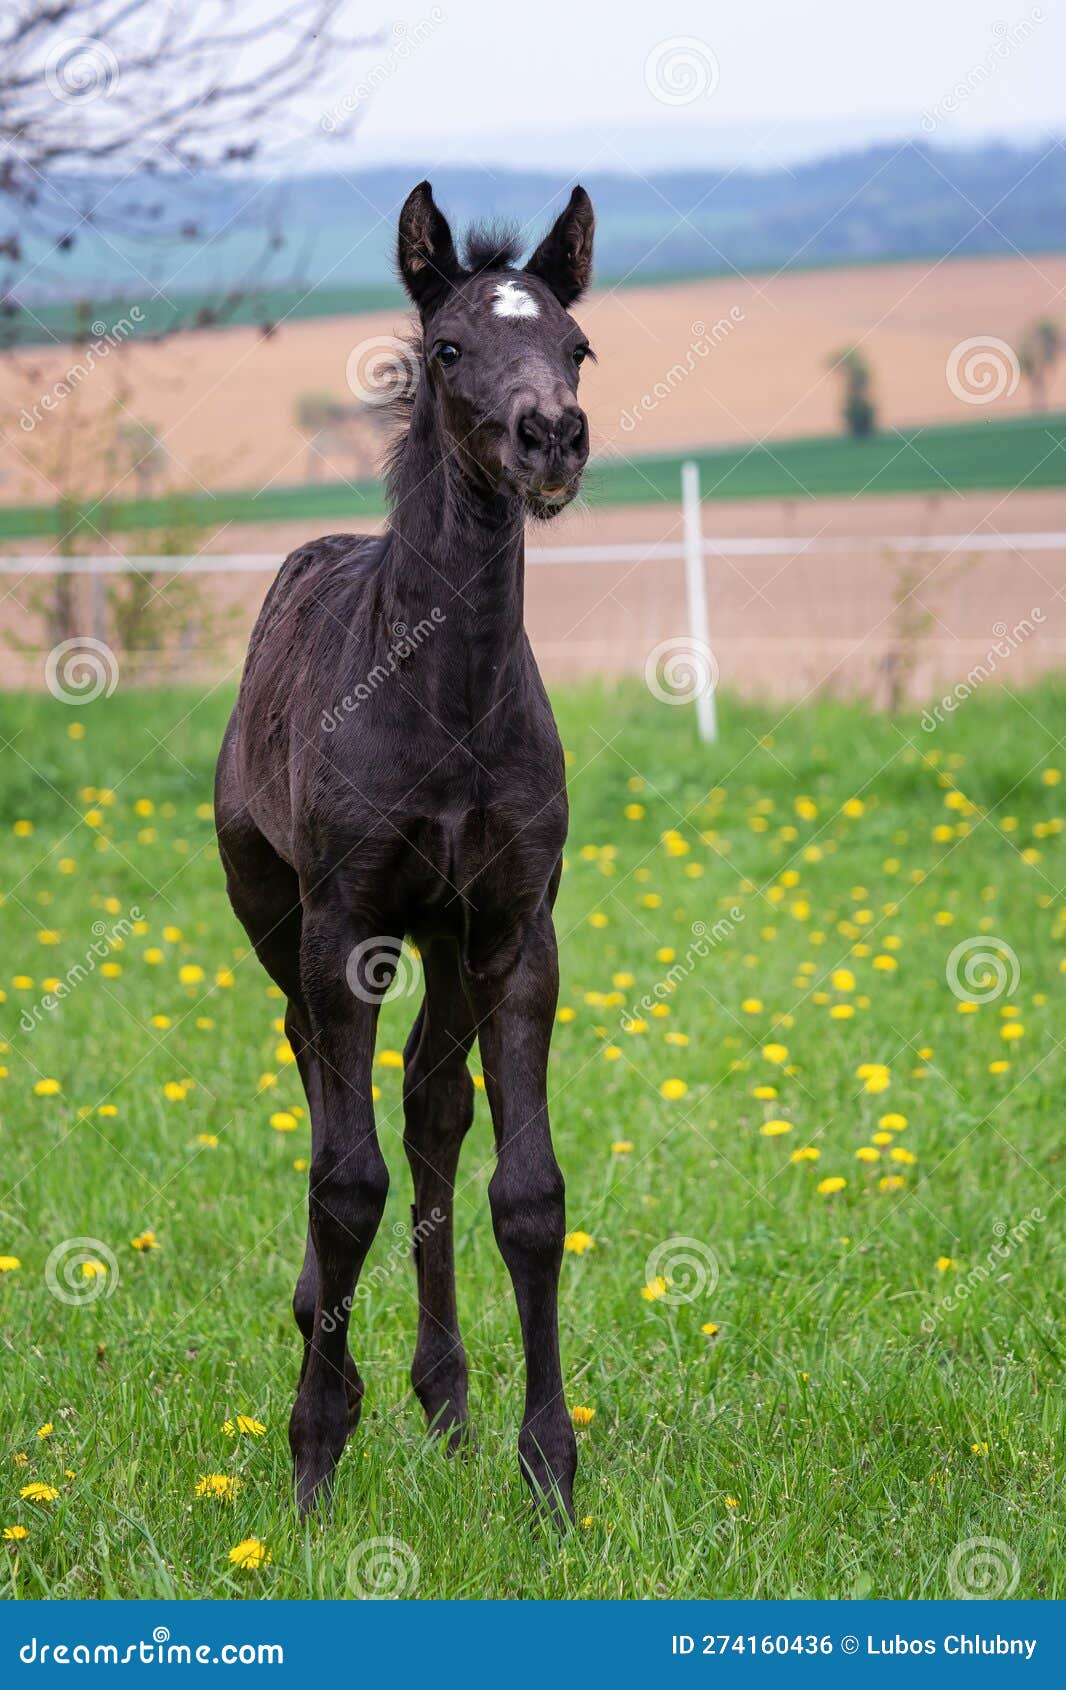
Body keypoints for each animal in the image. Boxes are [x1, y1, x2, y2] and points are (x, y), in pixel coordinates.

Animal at [214, 180, 596, 1524]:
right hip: (279, 918)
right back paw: (320, 1331)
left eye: (578, 347)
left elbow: (526, 1192)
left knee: (433, 1109)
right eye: (447, 351)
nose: (552, 439)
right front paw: (314, 1451)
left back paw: (444, 1395)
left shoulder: (514, 931)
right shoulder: (346, 929)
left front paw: (550, 1471)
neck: (446, 699)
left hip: (445, 945)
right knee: (318, 1079)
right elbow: (345, 1181)